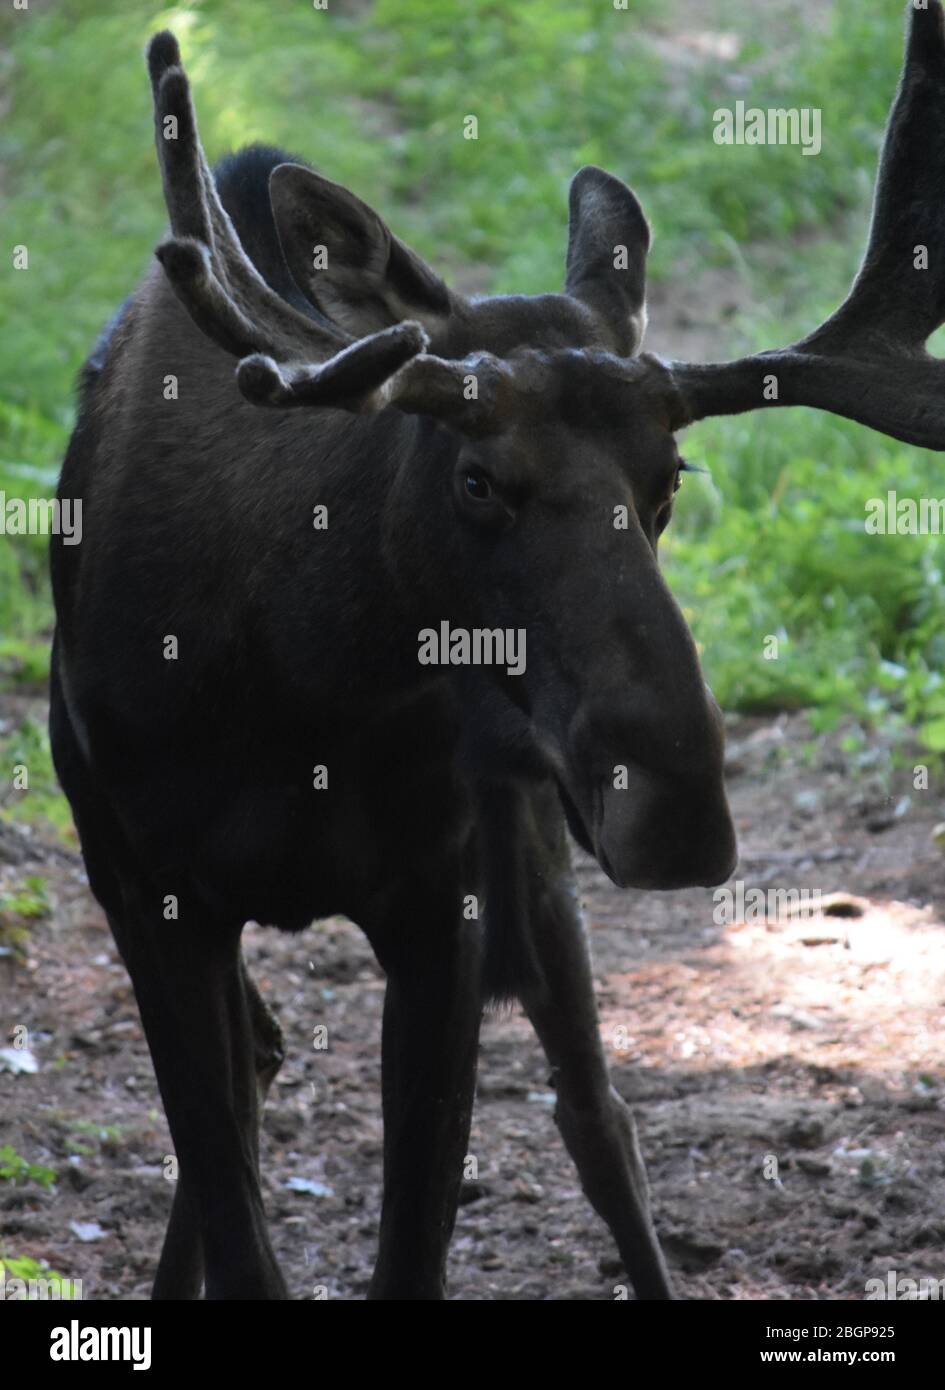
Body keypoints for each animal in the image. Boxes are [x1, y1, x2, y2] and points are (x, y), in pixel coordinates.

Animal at [49, 3, 945, 1300]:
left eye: (668, 482)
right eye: (478, 479)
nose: (677, 802)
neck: (291, 688)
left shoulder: (448, 897)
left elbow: (415, 1244)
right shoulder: (140, 883)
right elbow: (233, 1202)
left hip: (534, 852)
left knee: (598, 1119)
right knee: (259, 1063)